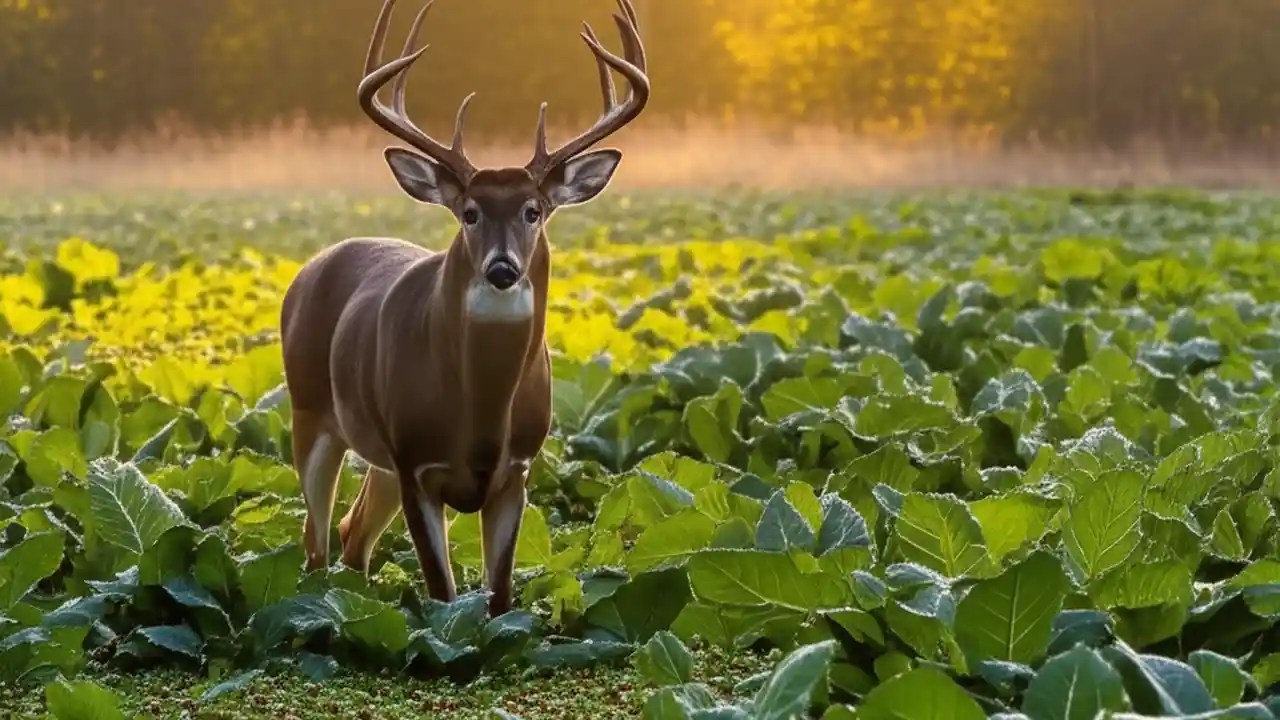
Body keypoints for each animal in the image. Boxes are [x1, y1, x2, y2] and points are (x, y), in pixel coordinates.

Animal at [279, 0, 649, 617]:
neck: (479, 412)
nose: (502, 268)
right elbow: (443, 592)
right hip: (310, 415)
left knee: (354, 538)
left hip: (377, 457)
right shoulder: (416, 463)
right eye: (470, 212)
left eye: (533, 210)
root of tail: (307, 270)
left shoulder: (517, 470)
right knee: (316, 543)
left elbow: (498, 596)